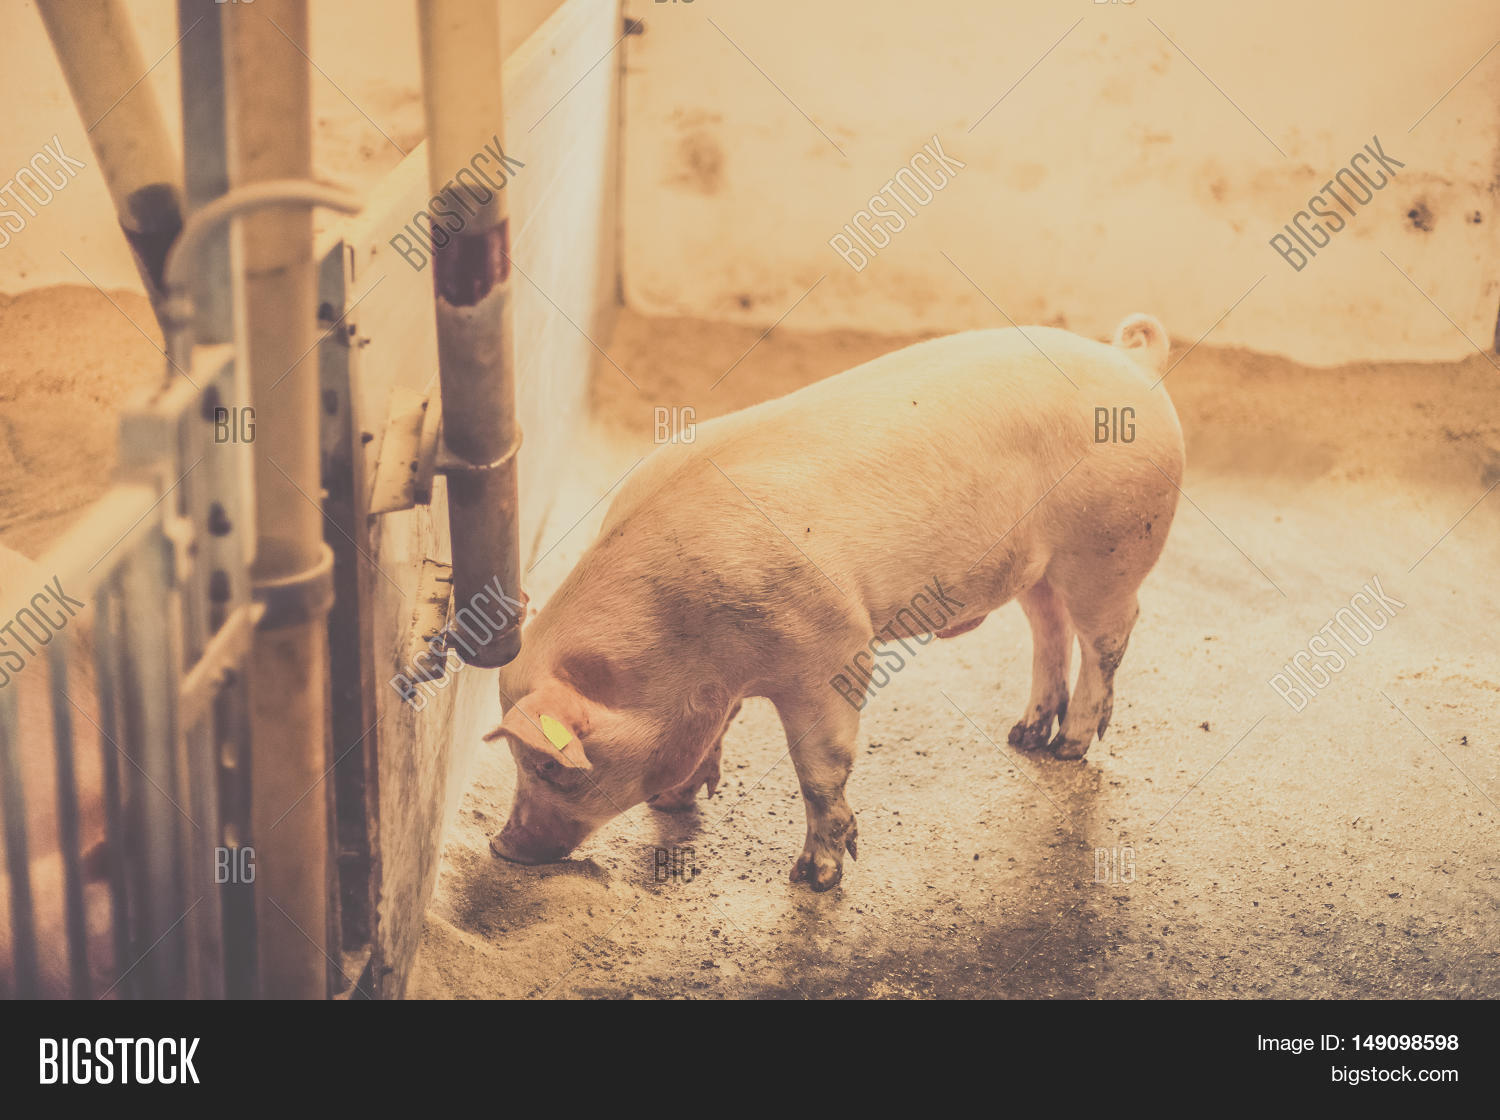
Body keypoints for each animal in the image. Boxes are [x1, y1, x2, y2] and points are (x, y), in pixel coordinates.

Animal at [488, 315, 1184, 890]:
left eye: (551, 767)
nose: (501, 846)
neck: (684, 642)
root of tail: (1132, 360)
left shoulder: (832, 651)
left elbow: (822, 771)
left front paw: (813, 879)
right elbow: (723, 729)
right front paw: (673, 801)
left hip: (1111, 546)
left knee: (1110, 636)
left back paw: (1069, 747)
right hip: (1039, 565)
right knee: (1049, 626)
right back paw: (1025, 736)